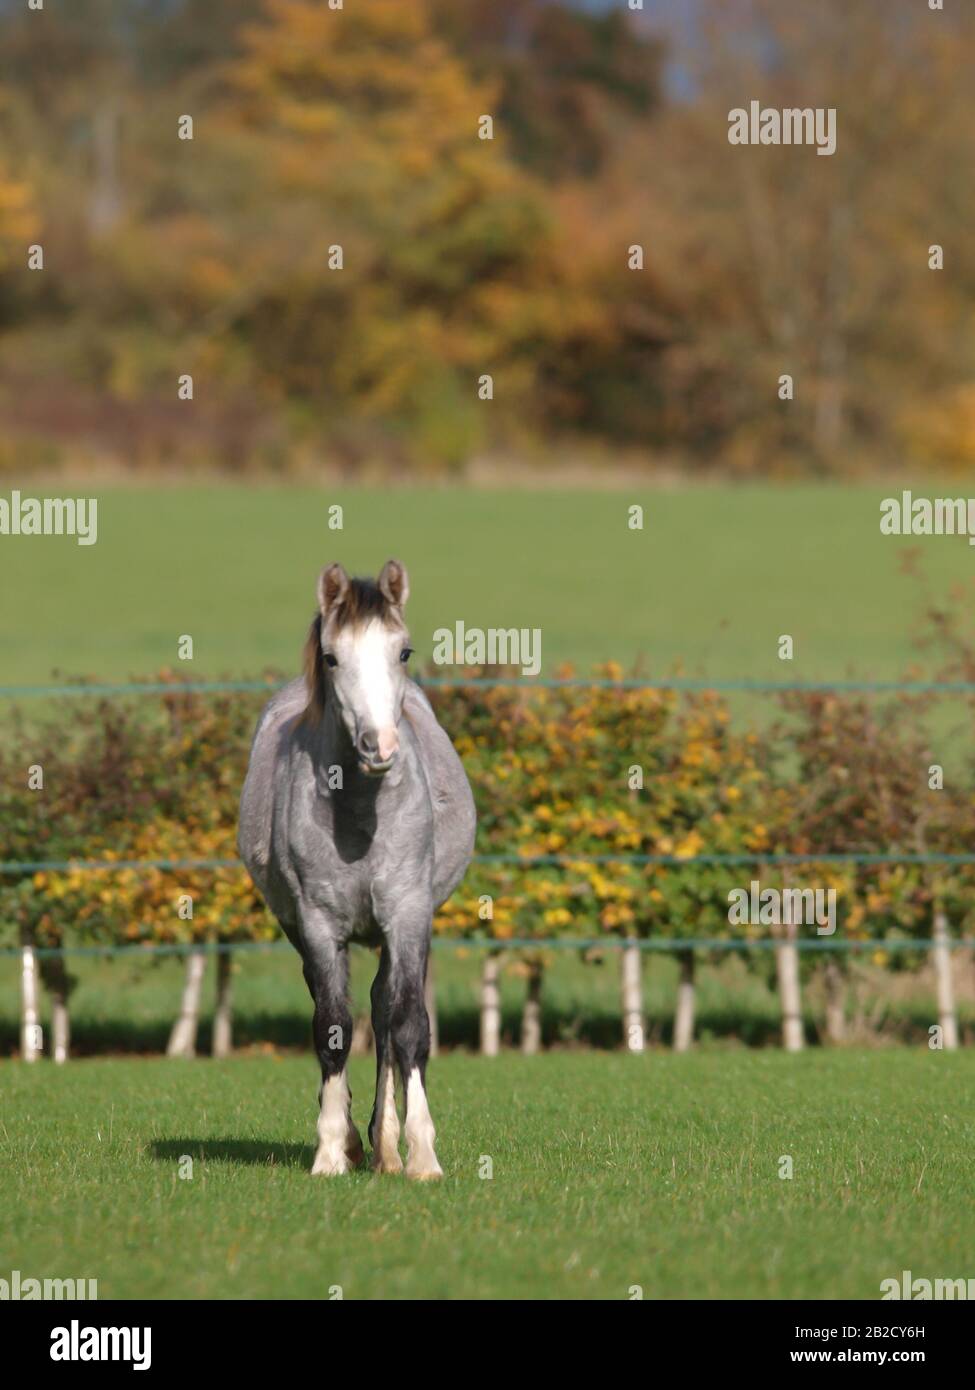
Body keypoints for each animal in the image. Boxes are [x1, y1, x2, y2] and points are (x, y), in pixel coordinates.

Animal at [238, 560, 475, 1179]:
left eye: (404, 651)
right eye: (331, 657)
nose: (378, 746)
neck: (361, 817)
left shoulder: (409, 916)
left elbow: (409, 1025)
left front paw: (421, 1156)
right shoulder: (319, 926)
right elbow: (332, 1029)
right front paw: (330, 1152)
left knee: (386, 1012)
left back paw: (386, 1146)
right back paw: (355, 1139)